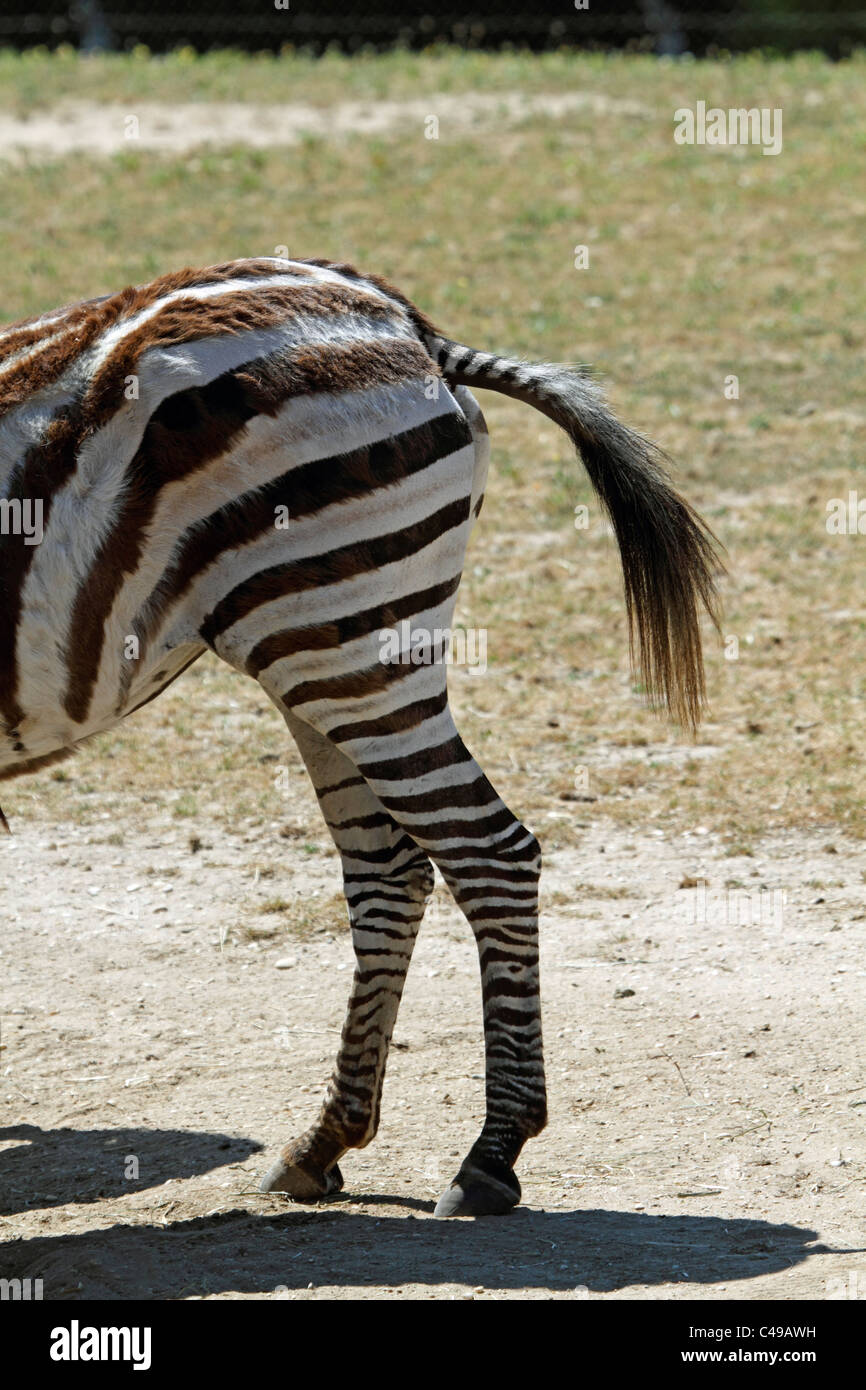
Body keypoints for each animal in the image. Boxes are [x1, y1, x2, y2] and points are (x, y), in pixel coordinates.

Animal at [0, 257, 720, 1217]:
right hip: (323, 647)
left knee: (488, 853)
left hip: (346, 639)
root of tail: (403, 322)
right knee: (390, 868)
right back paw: (325, 1140)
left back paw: (490, 1154)